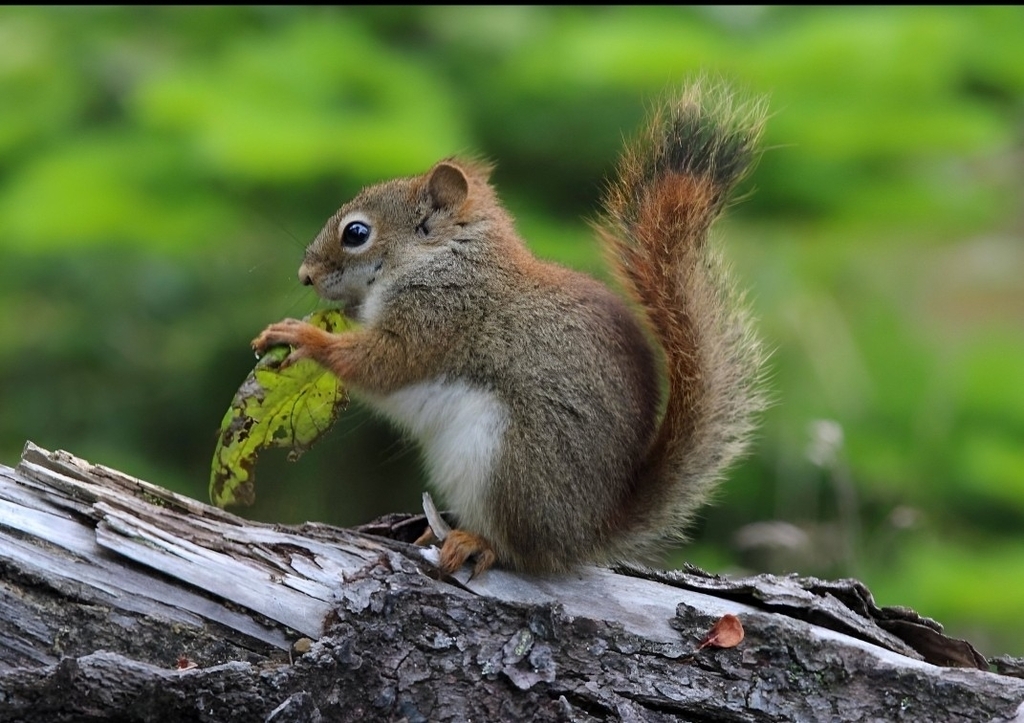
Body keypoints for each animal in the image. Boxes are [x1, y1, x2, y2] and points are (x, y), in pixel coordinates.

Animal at [252, 81, 767, 577]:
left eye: (356, 233)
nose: (305, 276)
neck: (448, 256)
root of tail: (586, 534)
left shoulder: (440, 313)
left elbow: (383, 363)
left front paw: (302, 337)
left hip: (508, 466)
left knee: (523, 553)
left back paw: (478, 543)